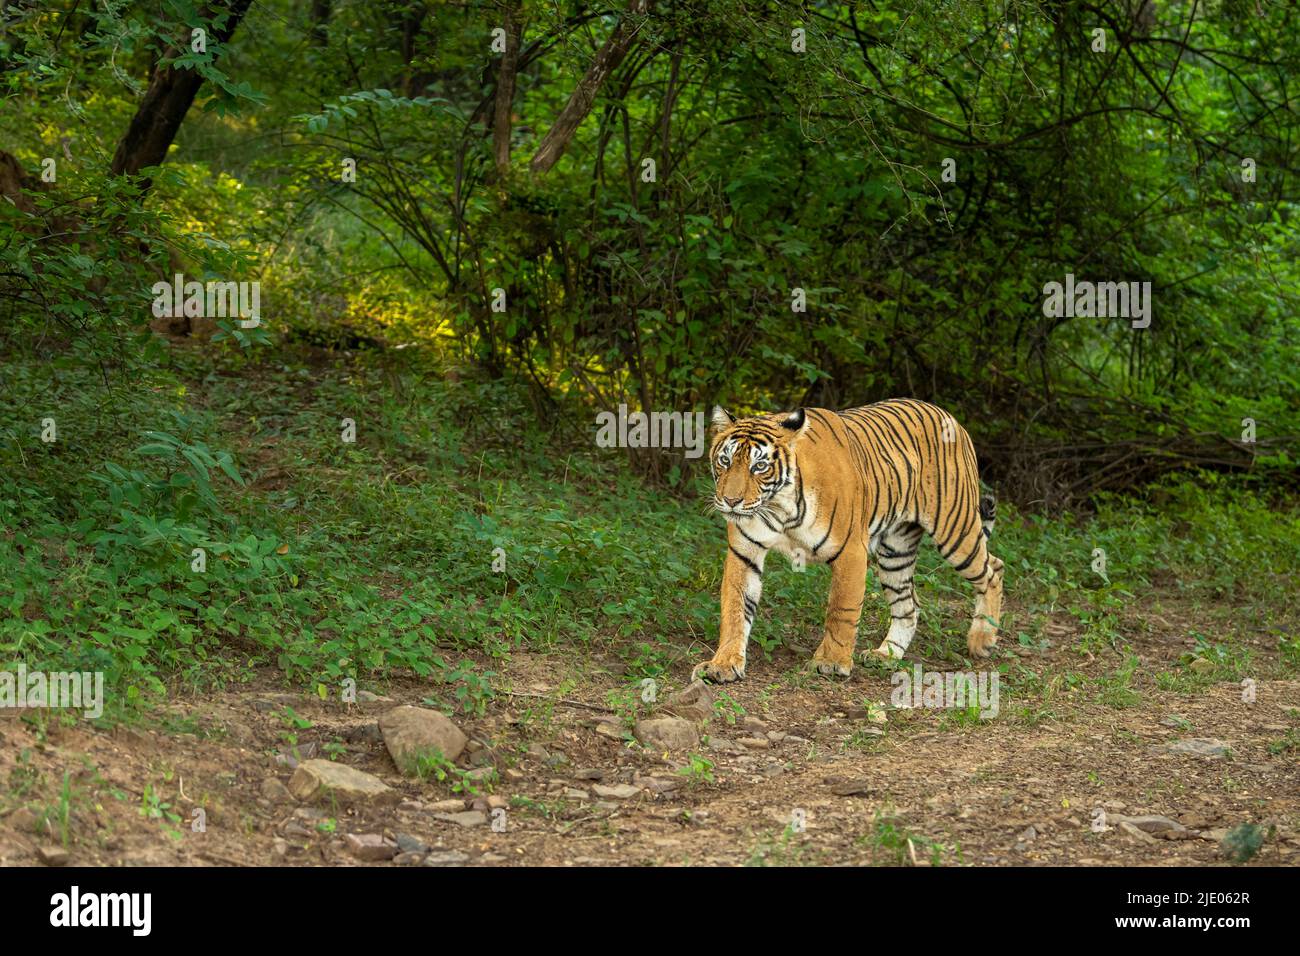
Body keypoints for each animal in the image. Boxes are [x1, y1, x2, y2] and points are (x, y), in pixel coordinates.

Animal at [692, 400, 1004, 683]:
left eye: (759, 466)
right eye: (725, 461)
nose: (731, 501)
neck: (779, 507)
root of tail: (949, 417)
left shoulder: (851, 551)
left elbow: (841, 610)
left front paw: (831, 662)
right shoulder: (744, 553)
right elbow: (735, 609)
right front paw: (723, 665)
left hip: (955, 530)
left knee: (994, 570)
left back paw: (982, 640)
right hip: (896, 552)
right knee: (909, 605)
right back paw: (885, 655)